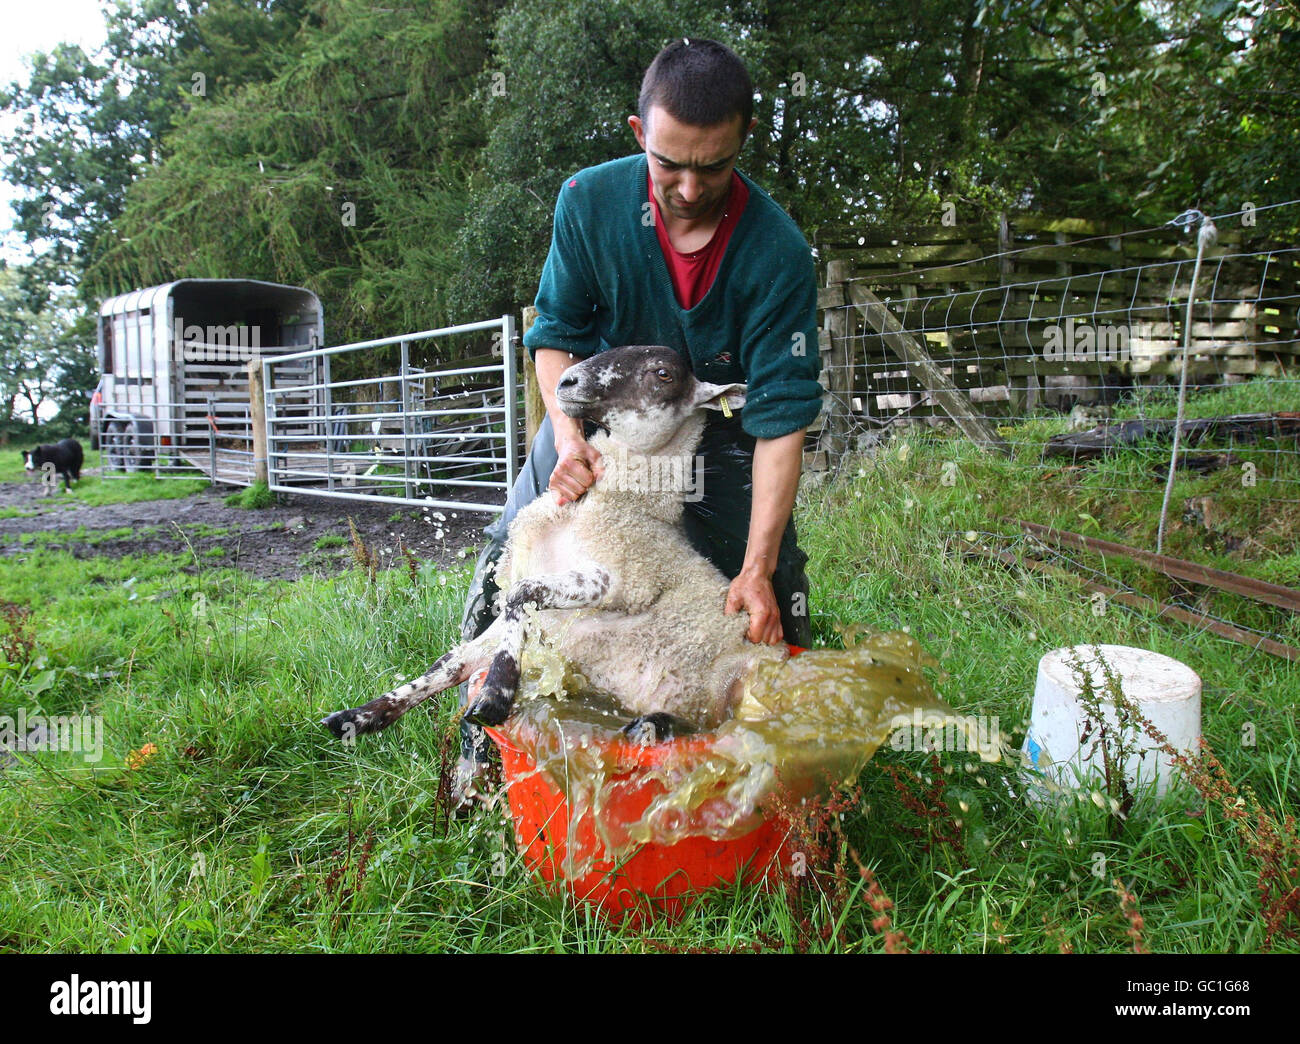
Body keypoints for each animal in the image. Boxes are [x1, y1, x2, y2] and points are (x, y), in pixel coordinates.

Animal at [322, 344, 792, 744]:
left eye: (663, 373)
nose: (567, 381)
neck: (611, 503)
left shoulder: (620, 578)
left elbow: (520, 593)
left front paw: (495, 694)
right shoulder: (539, 610)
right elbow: (450, 662)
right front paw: (360, 716)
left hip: (746, 676)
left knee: (724, 726)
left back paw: (655, 725)